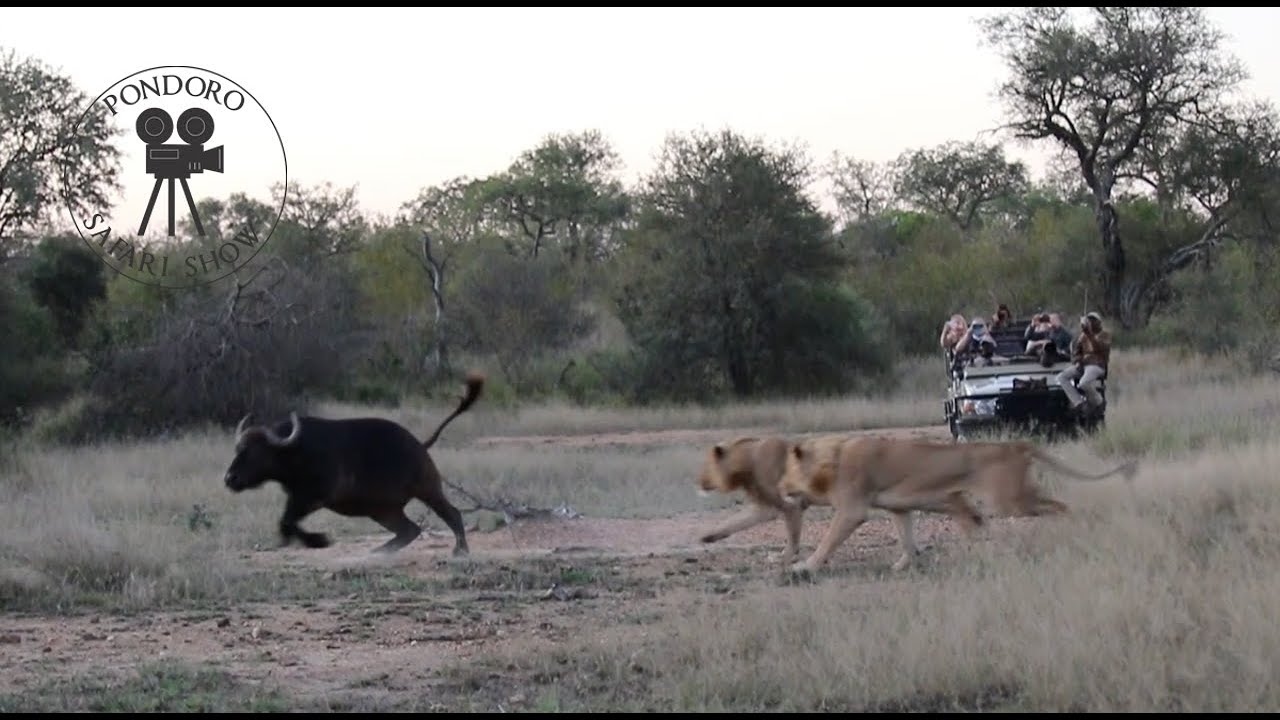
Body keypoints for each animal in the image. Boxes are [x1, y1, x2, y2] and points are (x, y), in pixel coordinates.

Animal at [223, 372, 484, 556]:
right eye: (238, 448)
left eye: (256, 452)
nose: (230, 478)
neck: (296, 451)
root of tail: (419, 445)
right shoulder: (296, 497)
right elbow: (286, 521)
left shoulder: (313, 498)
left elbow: (288, 521)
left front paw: (319, 541)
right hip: (383, 510)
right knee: (410, 530)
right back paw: (379, 552)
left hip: (428, 489)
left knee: (452, 514)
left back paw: (460, 550)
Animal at [694, 436, 814, 565]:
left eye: (706, 465)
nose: (699, 481)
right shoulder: (764, 507)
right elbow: (736, 521)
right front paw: (709, 535)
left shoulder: (790, 505)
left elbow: (793, 536)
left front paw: (785, 556)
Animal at [779, 435, 1139, 576]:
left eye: (785, 473)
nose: (780, 488)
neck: (832, 459)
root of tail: (1016, 444)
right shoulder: (899, 508)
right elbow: (906, 539)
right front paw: (902, 565)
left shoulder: (852, 511)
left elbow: (827, 541)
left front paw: (805, 566)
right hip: (1011, 498)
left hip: (1008, 501)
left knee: (1060, 505)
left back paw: (1073, 528)